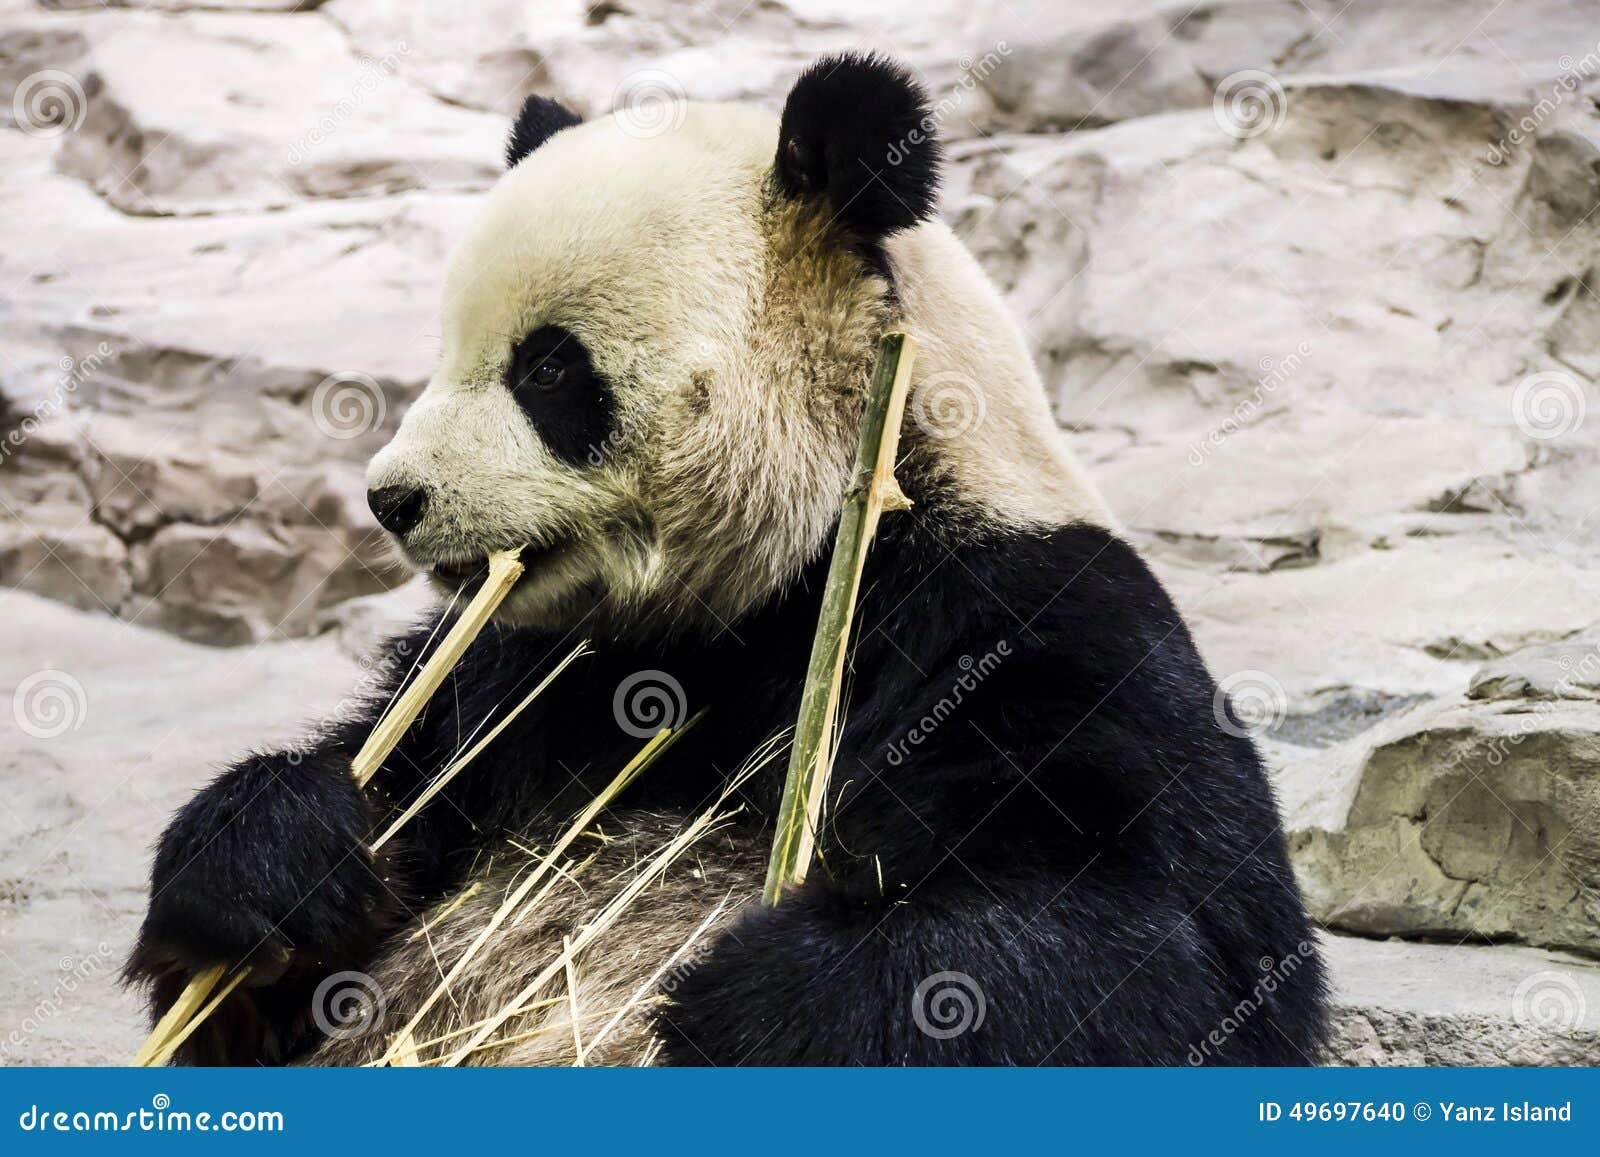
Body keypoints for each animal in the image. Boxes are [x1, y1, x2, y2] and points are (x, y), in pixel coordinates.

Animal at [127, 54, 1328, 1066]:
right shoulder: (520, 675)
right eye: (446, 354)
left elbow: (1171, 947)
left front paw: (752, 1002)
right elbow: (282, 957)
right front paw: (275, 860)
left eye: (548, 369)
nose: (393, 499)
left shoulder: (1015, 616)